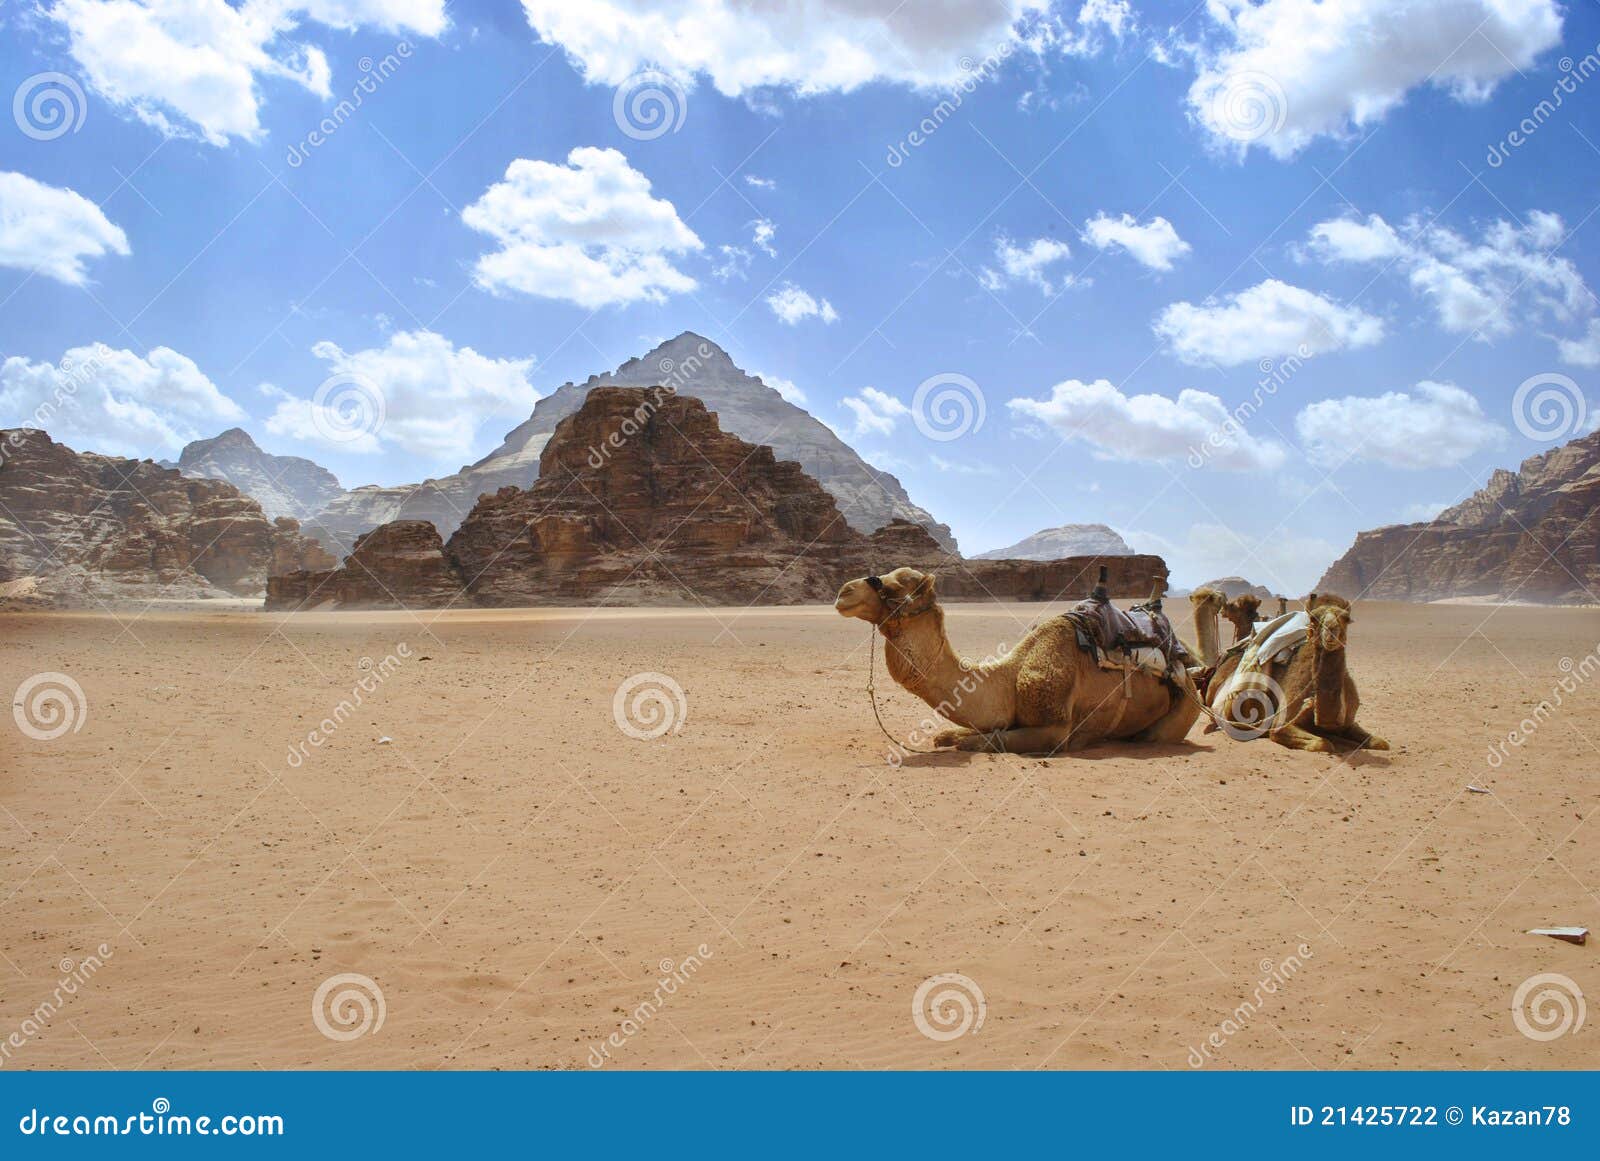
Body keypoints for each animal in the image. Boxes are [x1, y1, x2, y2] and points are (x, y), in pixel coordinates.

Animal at [835, 567, 1200, 754]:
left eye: (896, 585)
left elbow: (985, 741)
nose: (844, 592)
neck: (1008, 680)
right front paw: (948, 736)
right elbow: (961, 733)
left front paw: (961, 740)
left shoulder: (1055, 729)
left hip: (1181, 713)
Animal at [1203, 593, 1388, 753]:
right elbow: (1323, 743)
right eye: (1313, 619)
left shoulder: (1349, 722)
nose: (1331, 632)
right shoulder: (1281, 724)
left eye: (1347, 619)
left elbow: (1381, 743)